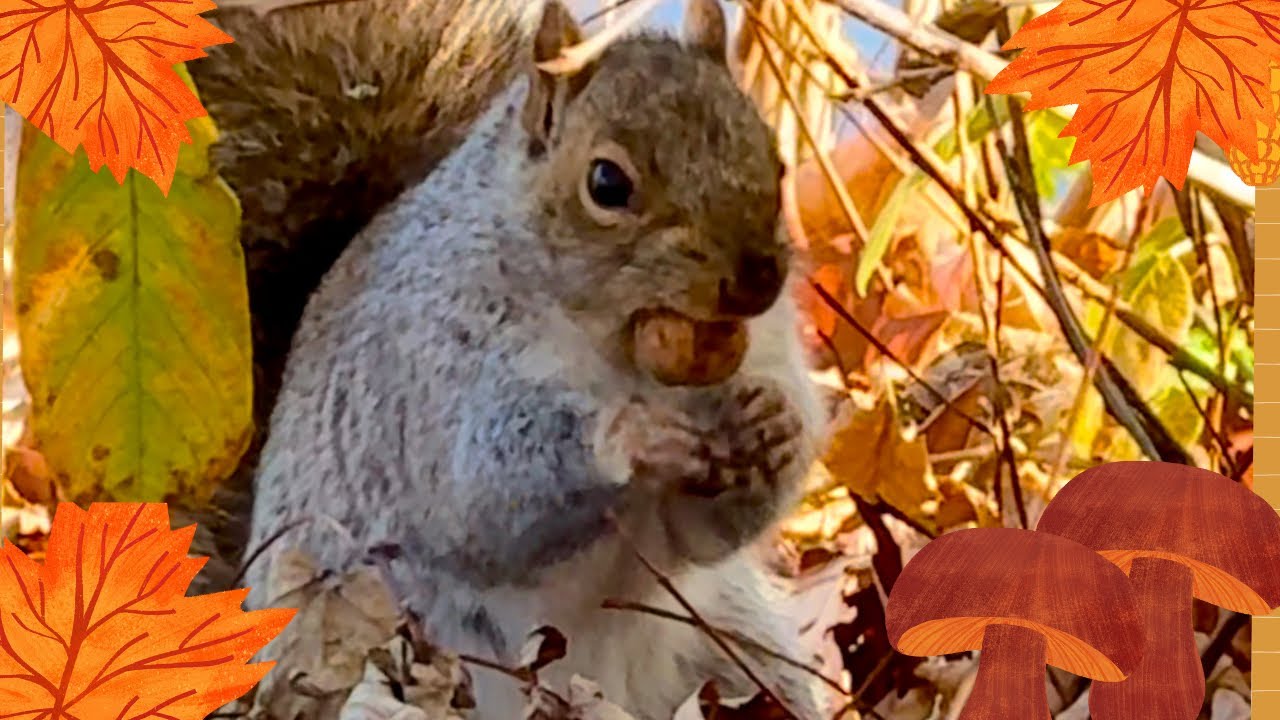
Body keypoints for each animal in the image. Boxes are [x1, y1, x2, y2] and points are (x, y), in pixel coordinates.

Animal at [206, 0, 829, 717]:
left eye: (775, 163)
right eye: (607, 183)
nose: (758, 279)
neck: (622, 353)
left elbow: (700, 532)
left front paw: (777, 426)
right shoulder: (426, 365)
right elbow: (480, 490)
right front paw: (636, 435)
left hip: (735, 654)